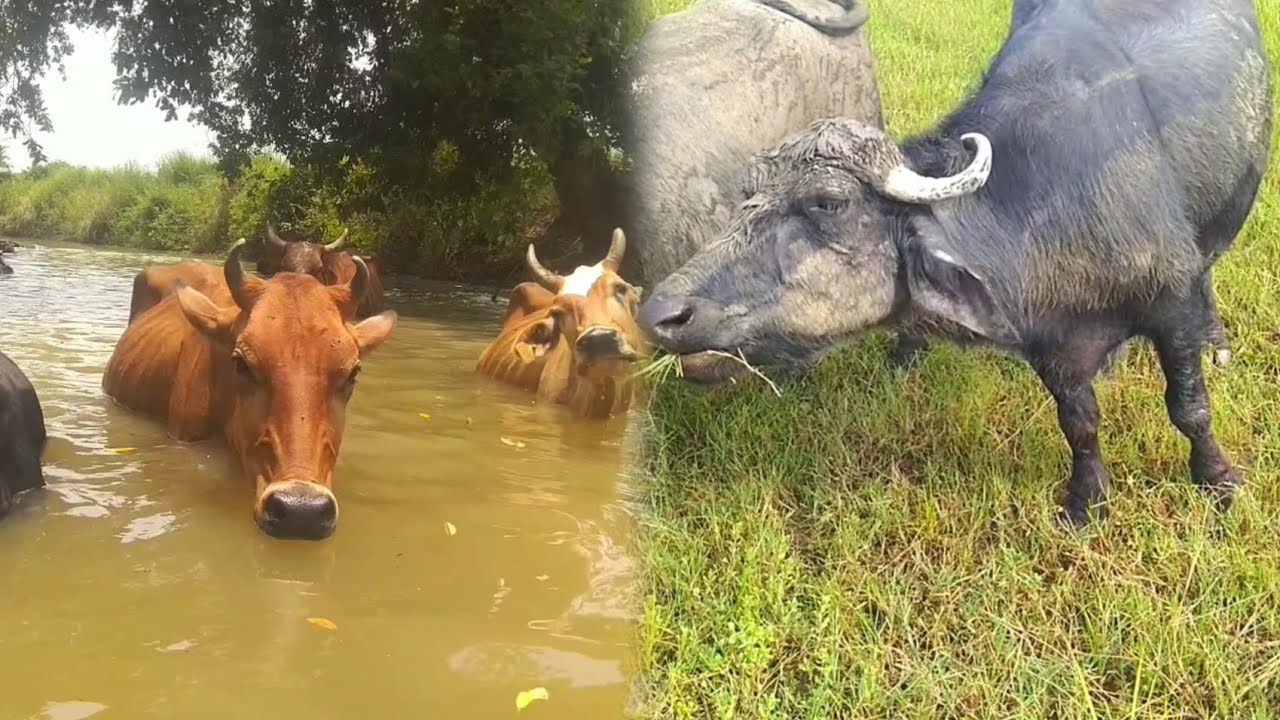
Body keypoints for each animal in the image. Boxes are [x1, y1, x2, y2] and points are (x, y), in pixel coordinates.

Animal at [637, 0, 1272, 527]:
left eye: (828, 202)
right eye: (748, 195)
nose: (662, 312)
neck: (1049, 200)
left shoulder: (1170, 305)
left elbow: (1189, 408)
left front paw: (1217, 478)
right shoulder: (1048, 341)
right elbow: (1080, 422)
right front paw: (1087, 499)